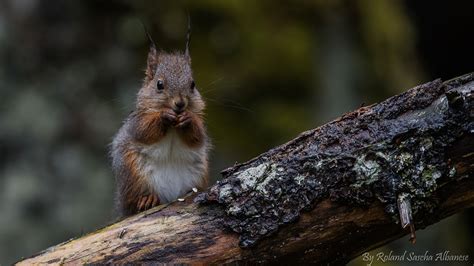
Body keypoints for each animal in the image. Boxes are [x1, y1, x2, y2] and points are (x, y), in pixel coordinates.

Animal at [111, 28, 209, 216]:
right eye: (159, 84)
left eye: (193, 84)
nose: (180, 104)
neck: (173, 127)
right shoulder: (136, 123)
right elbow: (144, 131)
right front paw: (164, 116)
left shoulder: (201, 130)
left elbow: (198, 137)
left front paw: (188, 119)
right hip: (134, 176)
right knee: (134, 203)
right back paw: (147, 200)